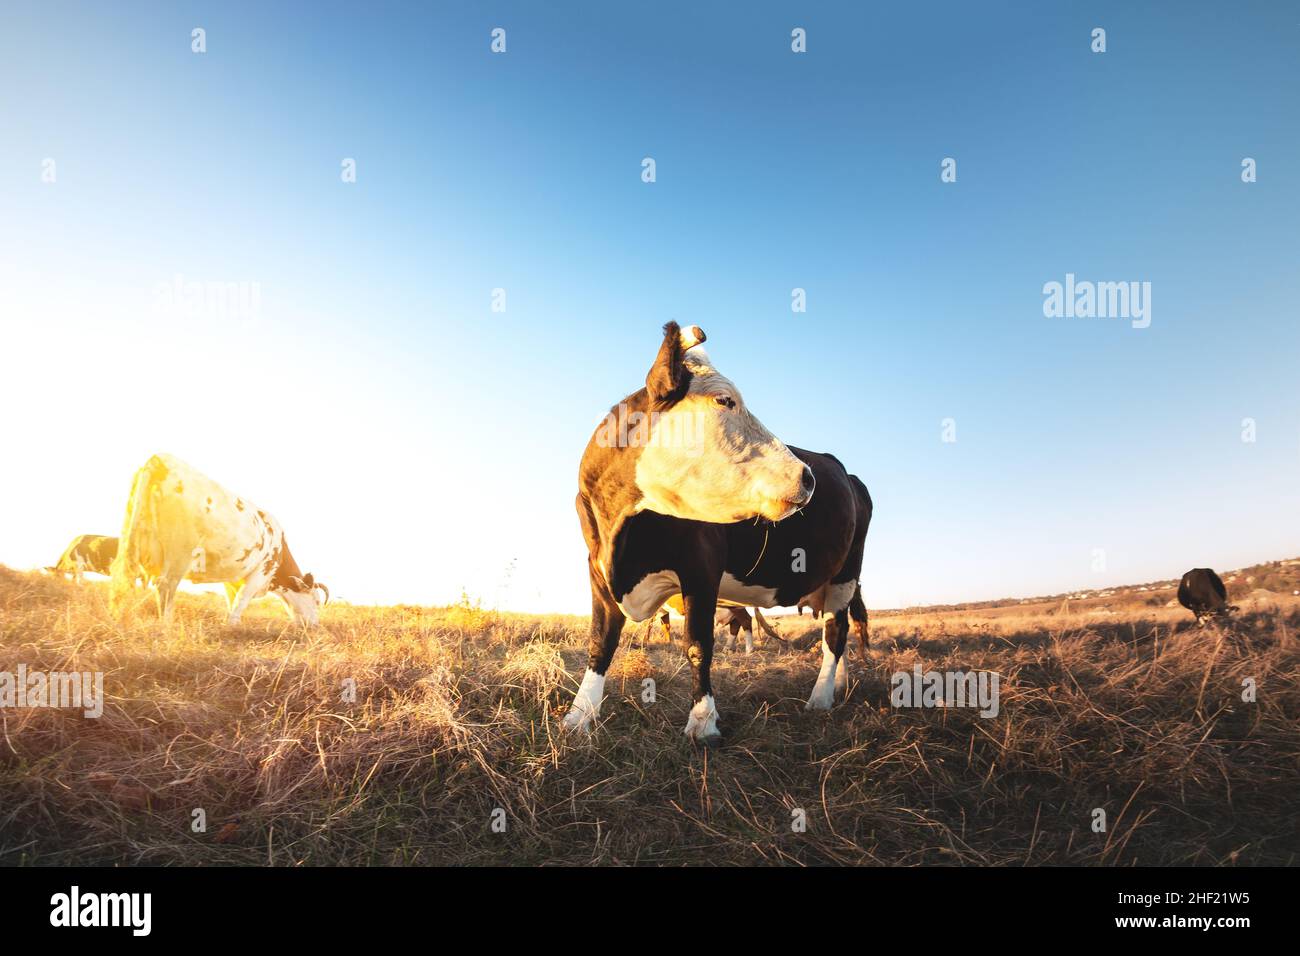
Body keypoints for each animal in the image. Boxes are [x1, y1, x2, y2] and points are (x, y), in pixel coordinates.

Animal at [109, 454, 329, 625]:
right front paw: (234, 626)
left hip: (131, 536)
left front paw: (229, 625)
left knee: (124, 574)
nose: (315, 626)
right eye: (316, 601)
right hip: (181, 551)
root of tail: (160, 459)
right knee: (166, 584)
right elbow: (241, 600)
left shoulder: (233, 577)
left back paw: (119, 618)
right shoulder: (263, 570)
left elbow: (231, 601)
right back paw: (166, 625)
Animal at [563, 322, 873, 745]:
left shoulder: (701, 569)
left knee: (837, 631)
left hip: (846, 573)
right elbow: (600, 642)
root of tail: (843, 470)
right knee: (835, 632)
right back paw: (839, 684)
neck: (621, 536)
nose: (807, 477)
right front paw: (580, 715)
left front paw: (703, 722)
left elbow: (697, 644)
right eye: (724, 400)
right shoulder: (597, 571)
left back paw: (821, 696)